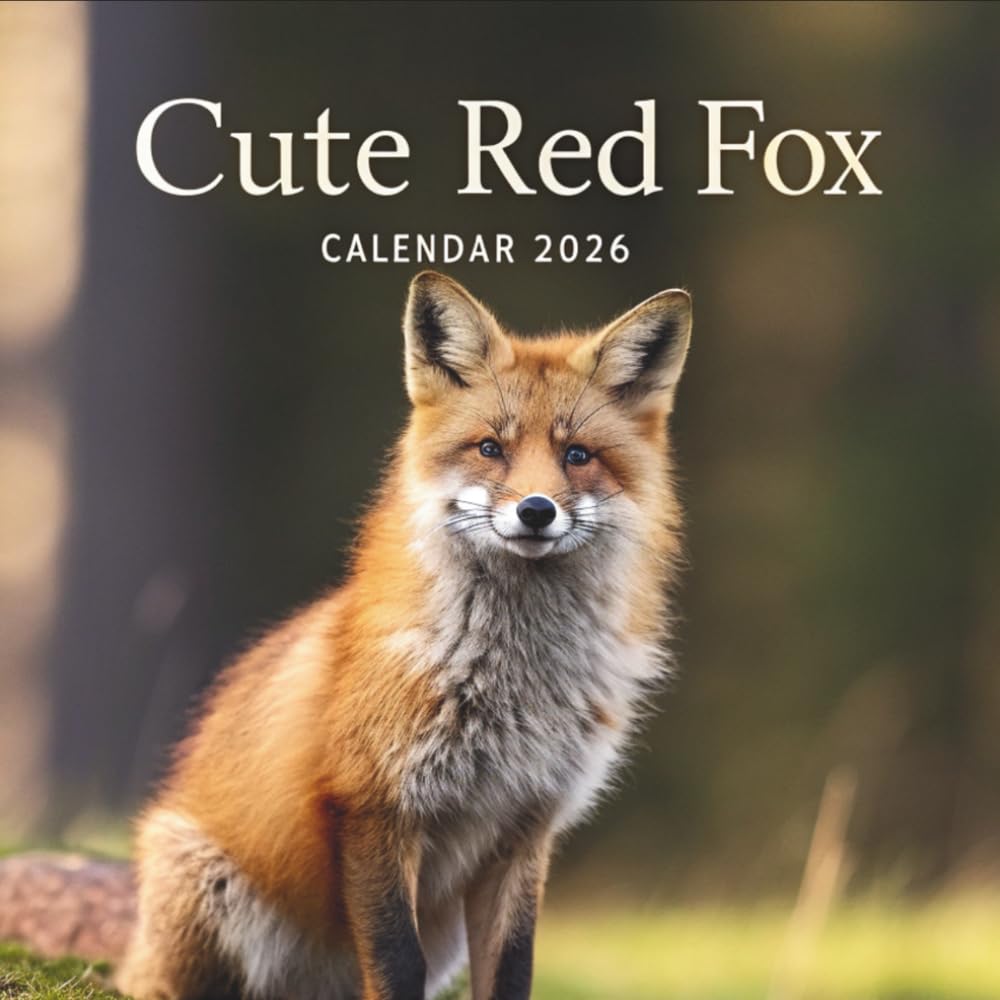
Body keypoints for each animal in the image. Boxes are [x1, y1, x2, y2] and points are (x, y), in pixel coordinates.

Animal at [0, 271, 692, 1000]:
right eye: (490, 448)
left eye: (577, 455)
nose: (536, 511)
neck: (512, 680)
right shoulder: (374, 810)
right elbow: (394, 961)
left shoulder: (524, 831)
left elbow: (512, 972)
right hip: (207, 895)